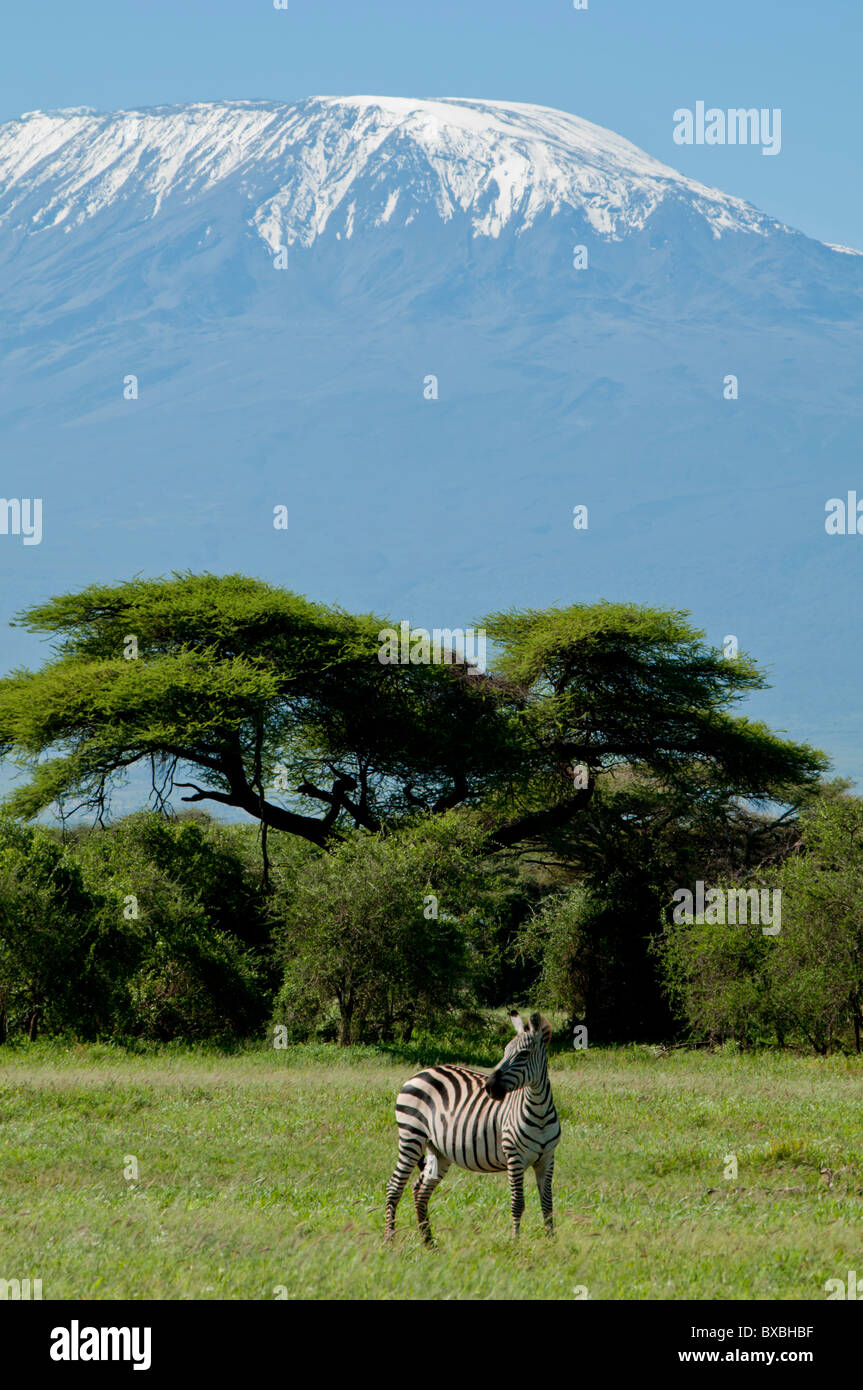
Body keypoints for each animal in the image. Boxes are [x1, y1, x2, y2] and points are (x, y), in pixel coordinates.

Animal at [384, 1009, 561, 1245]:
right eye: (505, 1052)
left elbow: (547, 1204)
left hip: (437, 1150)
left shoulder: (547, 1158)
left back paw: (429, 1242)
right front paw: (515, 1243)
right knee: (394, 1187)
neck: (539, 1111)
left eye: (523, 1054)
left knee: (420, 1190)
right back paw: (389, 1240)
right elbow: (518, 1204)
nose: (490, 1087)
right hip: (411, 1136)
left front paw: (551, 1243)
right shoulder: (514, 1157)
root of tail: (422, 1072)